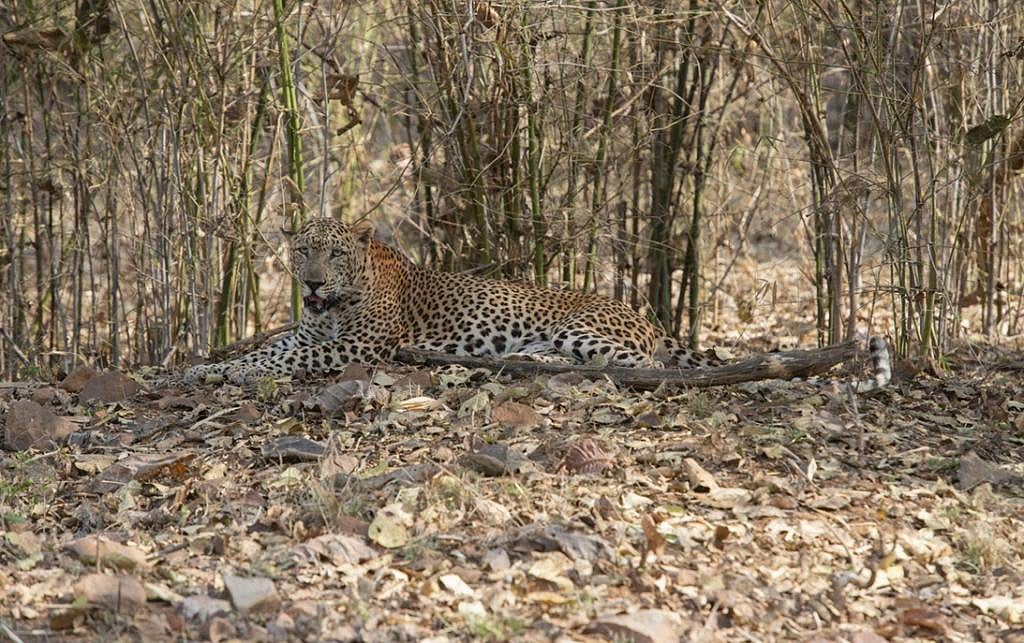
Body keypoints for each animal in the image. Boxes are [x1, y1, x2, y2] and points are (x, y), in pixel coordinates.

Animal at [184, 217, 721, 385]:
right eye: (302, 251)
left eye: (334, 253)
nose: (313, 284)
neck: (336, 305)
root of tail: (645, 317)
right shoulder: (305, 334)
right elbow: (269, 349)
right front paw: (210, 367)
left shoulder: (359, 347)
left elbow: (286, 359)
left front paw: (234, 372)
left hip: (583, 329)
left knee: (648, 364)